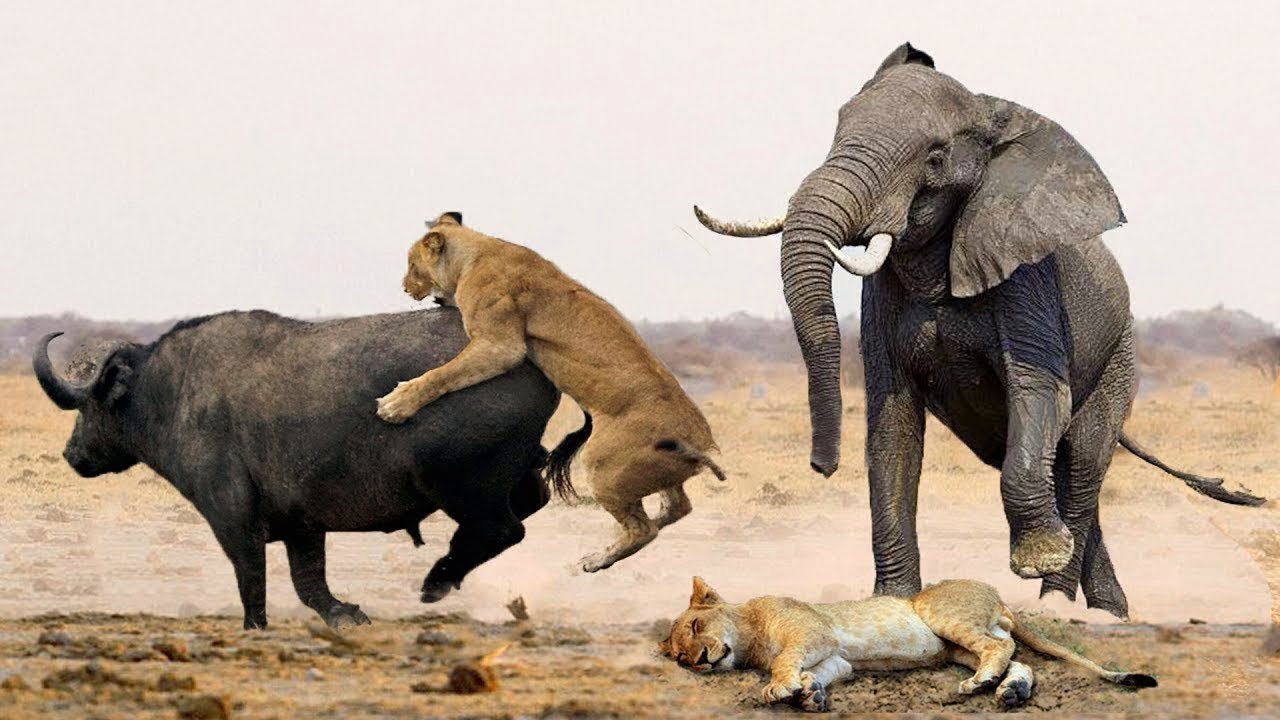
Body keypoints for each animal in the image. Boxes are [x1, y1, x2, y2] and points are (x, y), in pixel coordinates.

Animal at [34, 308, 586, 629]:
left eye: (89, 405)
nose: (73, 454)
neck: (168, 390)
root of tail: (533, 360)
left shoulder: (230, 515)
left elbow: (251, 573)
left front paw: (255, 626)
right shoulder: (303, 522)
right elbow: (309, 580)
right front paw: (344, 613)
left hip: (458, 484)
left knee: (502, 529)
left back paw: (436, 581)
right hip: (511, 477)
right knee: (526, 508)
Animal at [376, 212, 725, 572]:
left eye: (412, 264)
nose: (405, 286)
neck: (476, 253)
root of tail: (701, 446)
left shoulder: (500, 346)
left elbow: (442, 374)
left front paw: (395, 405)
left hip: (601, 464)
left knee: (643, 530)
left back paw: (597, 560)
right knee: (677, 507)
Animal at [659, 577, 1157, 711]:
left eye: (697, 625)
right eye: (679, 658)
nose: (697, 661)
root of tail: (995, 592)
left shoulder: (812, 633)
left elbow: (788, 660)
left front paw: (780, 687)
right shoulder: (838, 659)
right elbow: (820, 672)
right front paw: (810, 694)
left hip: (944, 616)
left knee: (1000, 649)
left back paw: (984, 683)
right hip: (955, 646)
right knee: (1015, 657)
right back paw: (1005, 690)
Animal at [695, 43, 1263, 618]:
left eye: (935, 158)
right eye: (835, 131)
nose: (822, 467)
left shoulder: (1026, 276)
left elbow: (1037, 391)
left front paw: (1038, 557)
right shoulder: (881, 296)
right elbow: (892, 425)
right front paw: (892, 602)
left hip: (1120, 354)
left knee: (1082, 459)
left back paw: (1058, 601)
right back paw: (1109, 612)